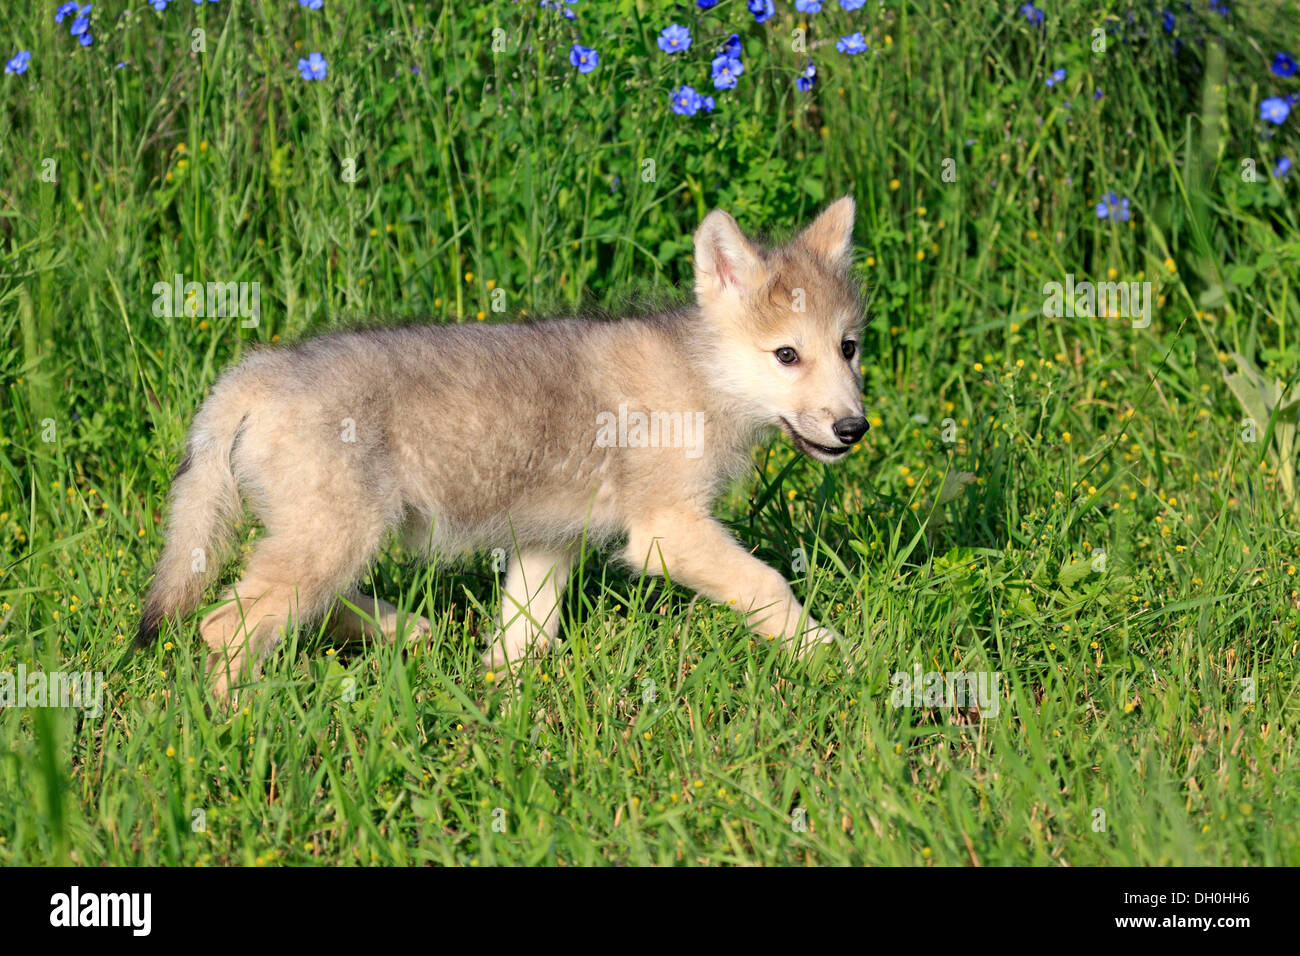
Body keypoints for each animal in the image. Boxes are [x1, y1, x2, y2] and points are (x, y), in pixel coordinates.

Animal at [135, 197, 869, 699]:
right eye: (786, 355)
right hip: (338, 537)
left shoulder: (548, 545)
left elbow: (523, 639)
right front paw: (833, 653)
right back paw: (241, 722)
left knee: (301, 606)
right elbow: (770, 583)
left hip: (330, 541)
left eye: (848, 348)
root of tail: (253, 373)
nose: (854, 429)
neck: (700, 377)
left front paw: (500, 700)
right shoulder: (669, 533)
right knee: (224, 626)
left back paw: (404, 629)